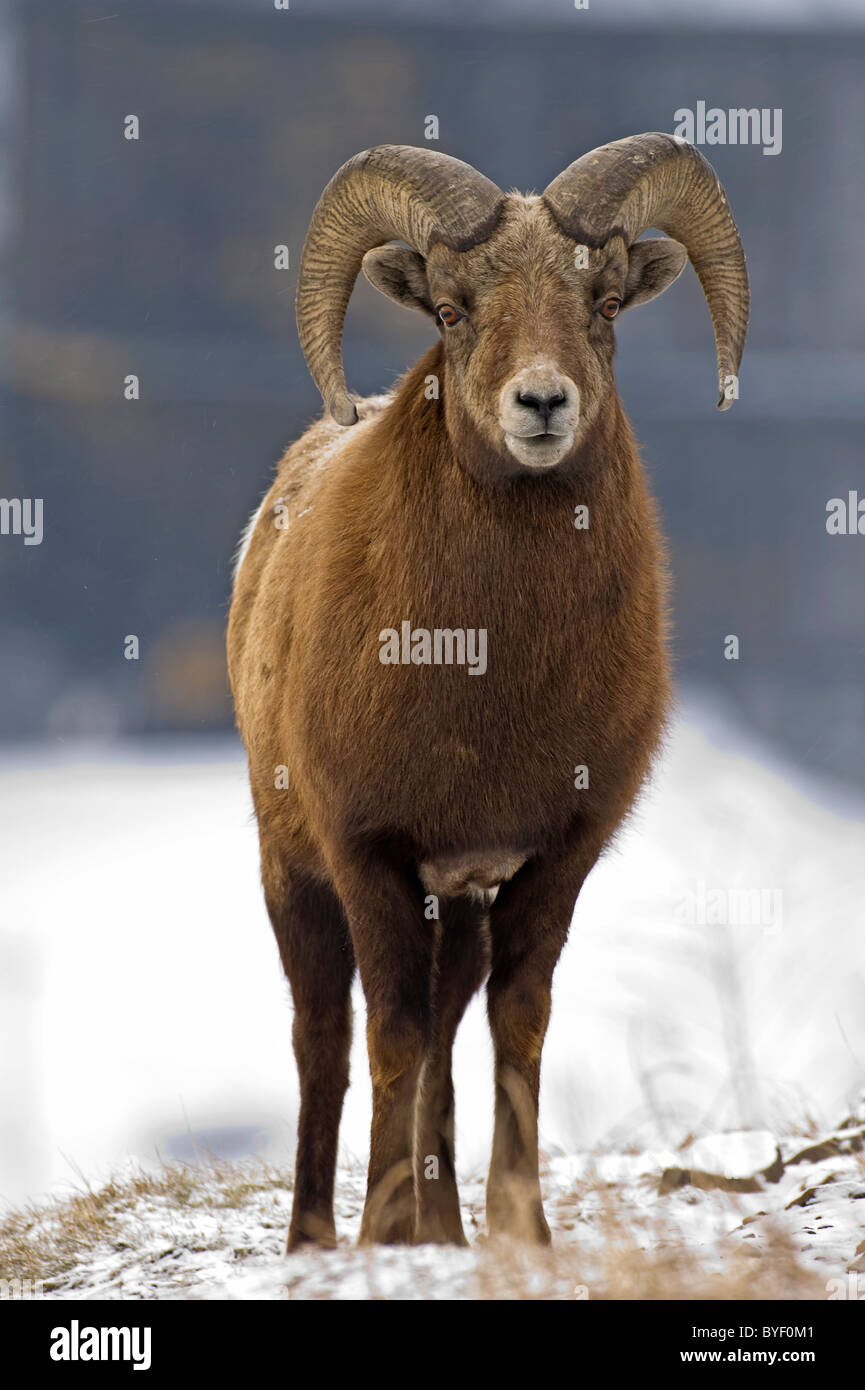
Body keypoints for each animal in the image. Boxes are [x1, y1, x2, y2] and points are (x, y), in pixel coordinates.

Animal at [227, 134, 749, 1250]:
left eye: (604, 301)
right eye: (452, 309)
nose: (541, 405)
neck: (481, 668)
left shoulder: (549, 859)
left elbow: (514, 1023)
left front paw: (519, 1232)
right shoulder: (368, 855)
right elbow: (387, 1034)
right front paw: (377, 1242)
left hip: (455, 907)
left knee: (445, 1032)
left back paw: (446, 1234)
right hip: (294, 879)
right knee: (323, 1038)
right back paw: (317, 1240)